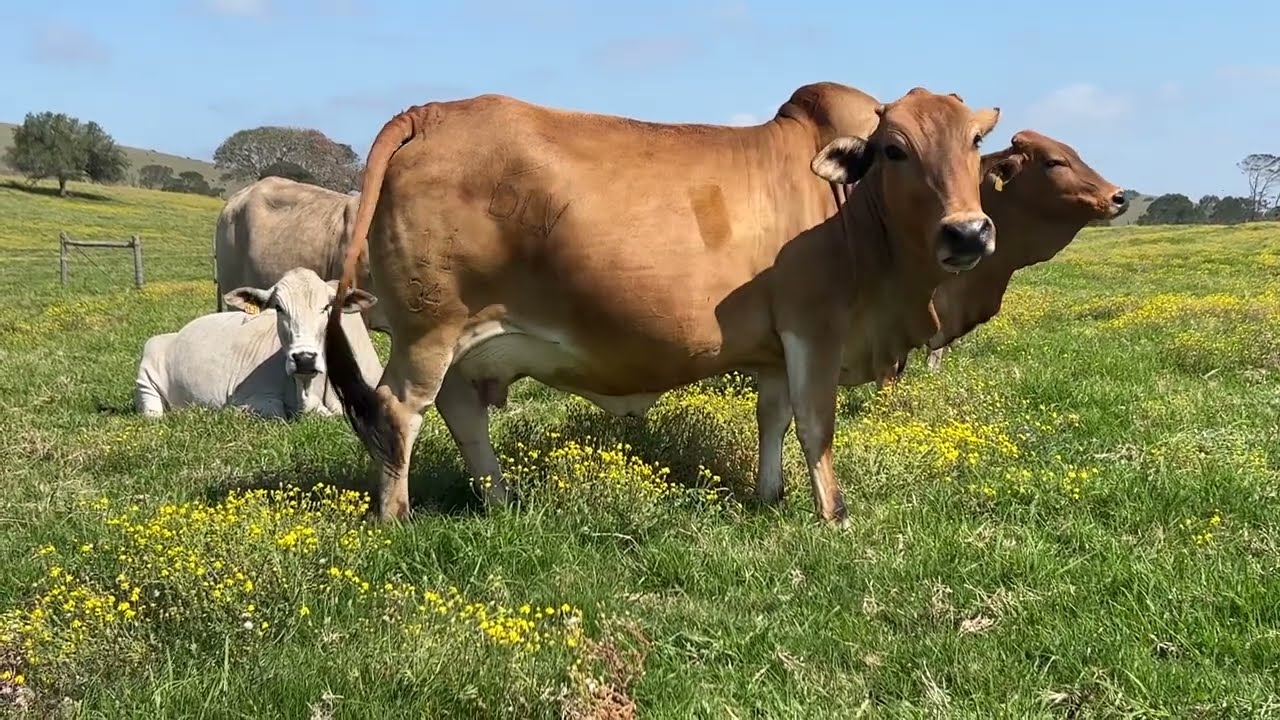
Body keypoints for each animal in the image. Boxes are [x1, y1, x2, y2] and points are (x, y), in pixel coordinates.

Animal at [320, 82, 1003, 525]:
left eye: (974, 141)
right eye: (895, 148)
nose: (968, 233)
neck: (850, 208)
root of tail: (428, 112)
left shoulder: (775, 349)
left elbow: (774, 419)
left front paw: (769, 495)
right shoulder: (816, 329)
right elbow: (816, 424)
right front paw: (833, 513)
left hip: (458, 343)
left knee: (461, 415)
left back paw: (502, 501)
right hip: (429, 332)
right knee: (398, 411)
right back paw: (397, 518)